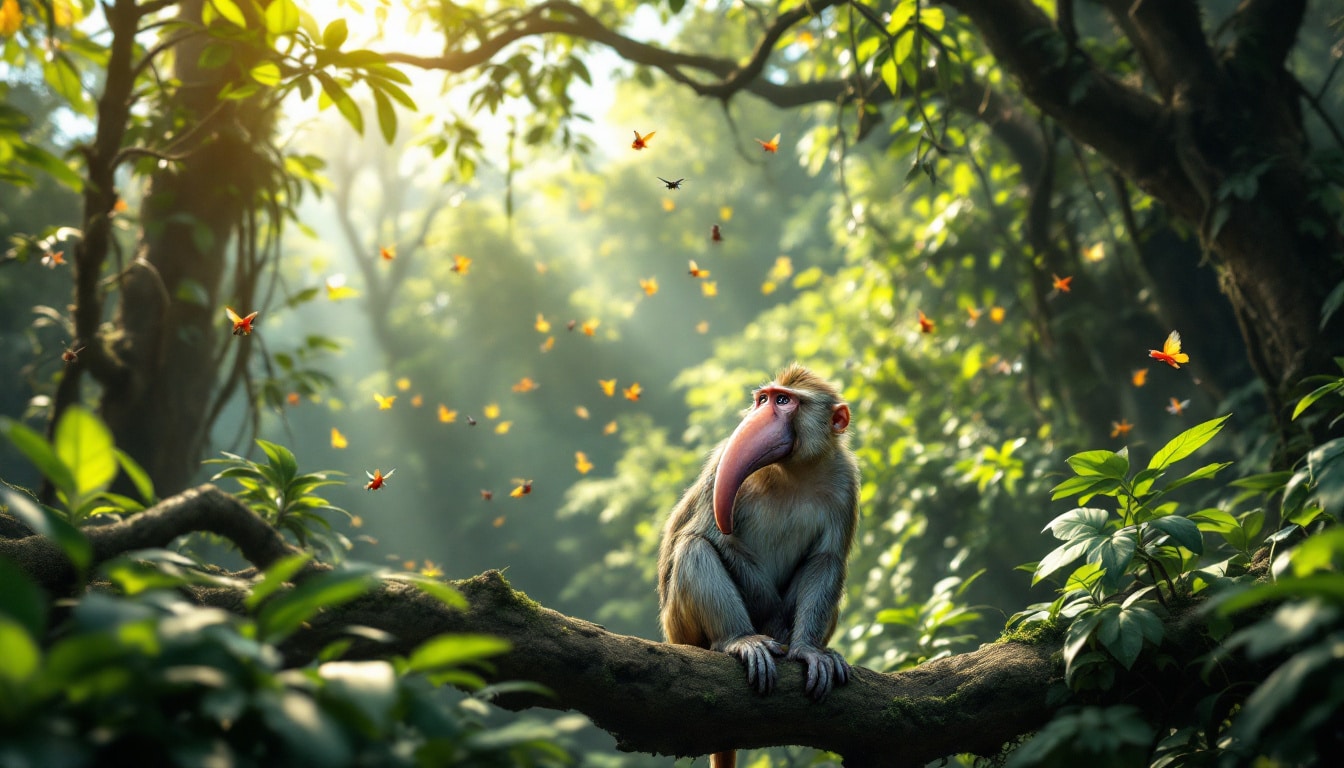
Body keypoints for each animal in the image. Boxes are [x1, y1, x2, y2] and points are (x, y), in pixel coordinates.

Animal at [657, 363, 860, 768]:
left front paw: (808, 649)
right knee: (694, 546)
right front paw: (771, 623)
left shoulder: (846, 481)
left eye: (784, 401)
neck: (794, 471)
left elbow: (825, 562)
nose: (758, 415)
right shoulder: (725, 461)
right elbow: (715, 536)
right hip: (680, 629)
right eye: (763, 399)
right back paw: (739, 639)